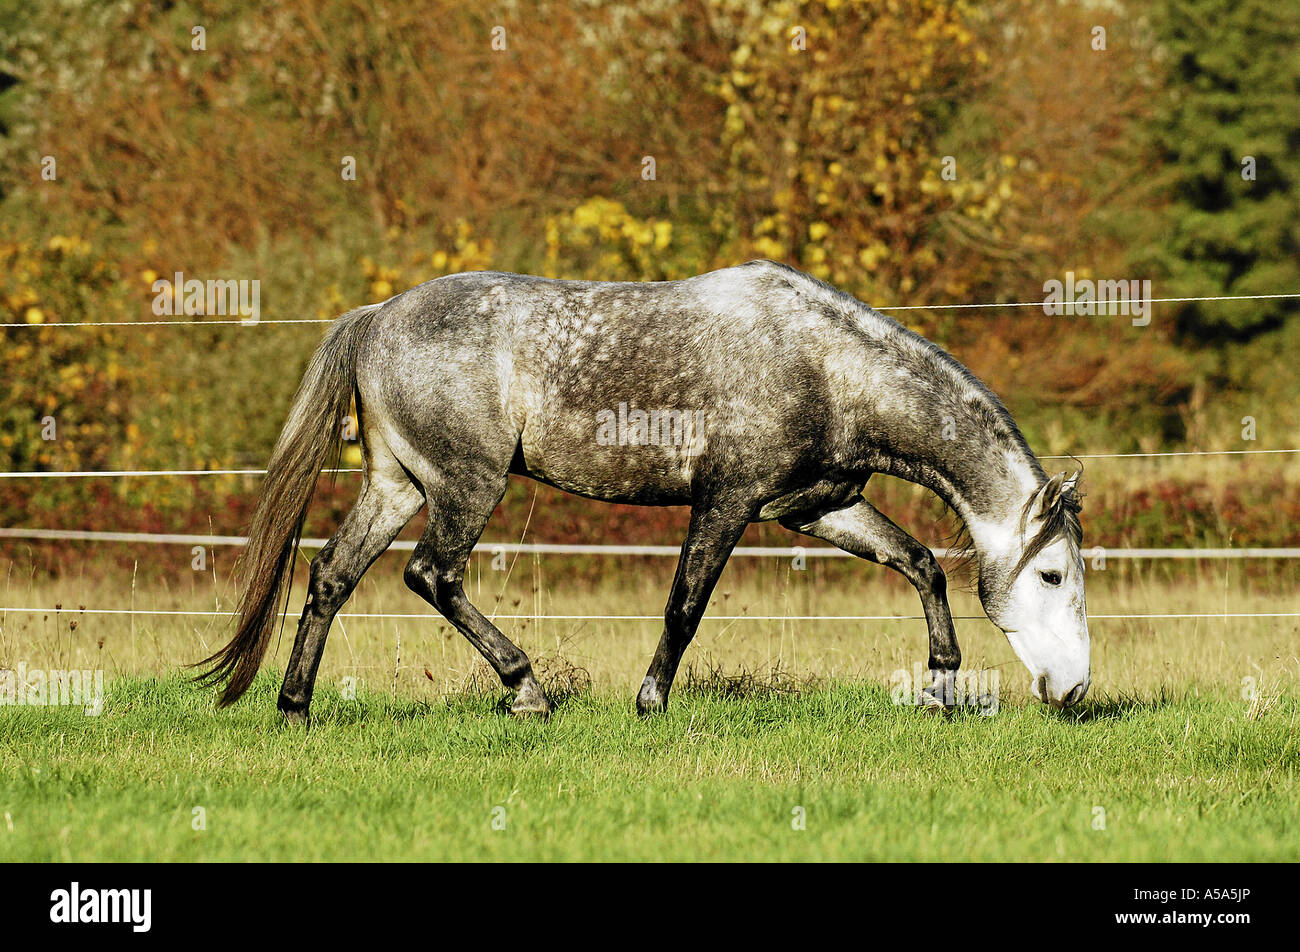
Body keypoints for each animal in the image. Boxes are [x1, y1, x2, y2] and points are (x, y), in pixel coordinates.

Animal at [197, 260, 1089, 722]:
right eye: (1052, 576)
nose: (1075, 690)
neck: (827, 368)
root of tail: (378, 316)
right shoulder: (728, 501)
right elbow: (684, 605)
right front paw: (651, 700)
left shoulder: (813, 506)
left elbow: (920, 562)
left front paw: (940, 686)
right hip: (465, 485)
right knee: (432, 576)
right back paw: (527, 692)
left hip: (397, 485)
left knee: (331, 578)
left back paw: (295, 705)